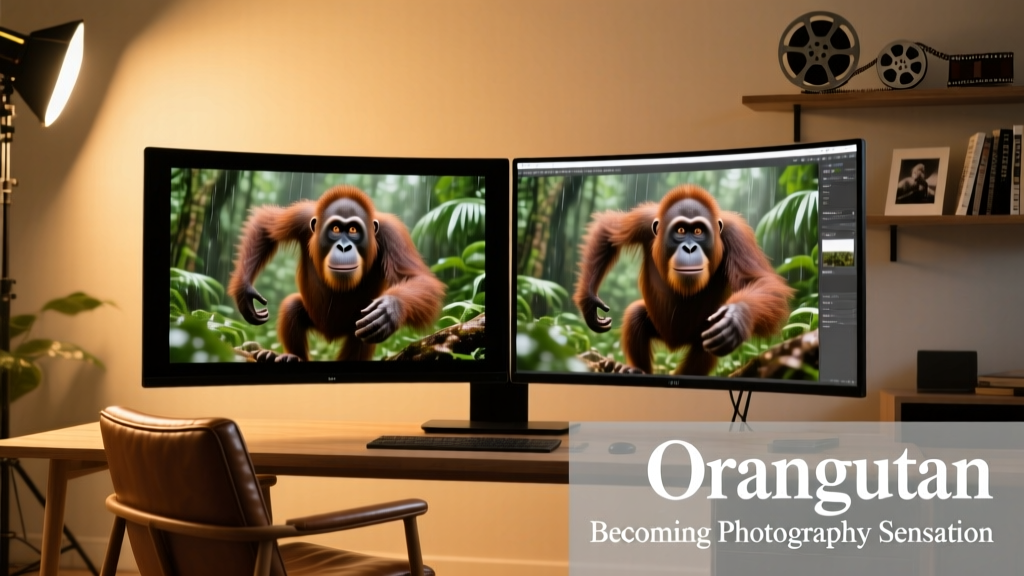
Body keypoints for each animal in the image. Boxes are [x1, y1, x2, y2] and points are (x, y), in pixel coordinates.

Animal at [228, 185, 445, 362]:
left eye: (353, 230)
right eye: (335, 228)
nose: (343, 247)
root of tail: (330, 334)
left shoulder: (392, 233)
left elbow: (416, 278)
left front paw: (391, 308)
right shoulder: (302, 216)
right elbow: (267, 226)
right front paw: (245, 294)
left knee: (363, 332)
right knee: (292, 306)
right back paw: (290, 357)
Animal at [574, 184, 794, 375]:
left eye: (698, 231)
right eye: (680, 231)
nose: (689, 248)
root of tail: (674, 343)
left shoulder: (735, 233)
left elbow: (760, 281)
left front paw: (736, 318)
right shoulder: (645, 220)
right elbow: (609, 231)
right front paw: (590, 304)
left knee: (707, 338)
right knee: (635, 315)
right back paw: (633, 369)